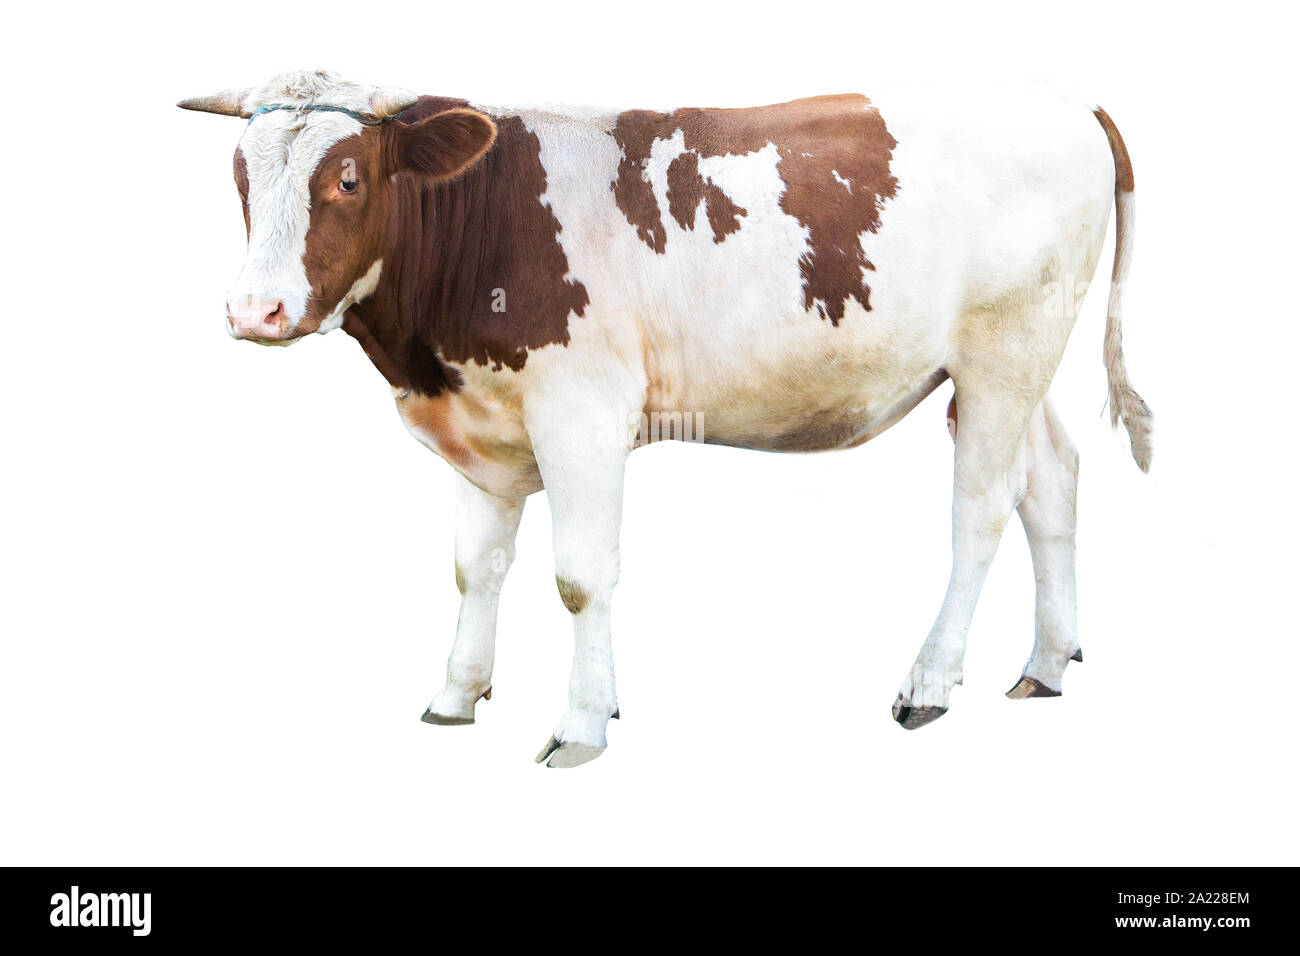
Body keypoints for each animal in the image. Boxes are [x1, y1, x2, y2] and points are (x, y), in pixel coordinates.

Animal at [179, 69, 1152, 767]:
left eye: (346, 176)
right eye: (239, 178)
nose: (255, 310)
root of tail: (1067, 99)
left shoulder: (581, 416)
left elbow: (579, 578)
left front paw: (581, 722)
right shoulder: (482, 426)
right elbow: (474, 570)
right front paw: (455, 696)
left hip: (1002, 350)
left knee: (982, 509)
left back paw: (931, 683)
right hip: (1018, 362)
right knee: (1053, 482)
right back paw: (1045, 665)